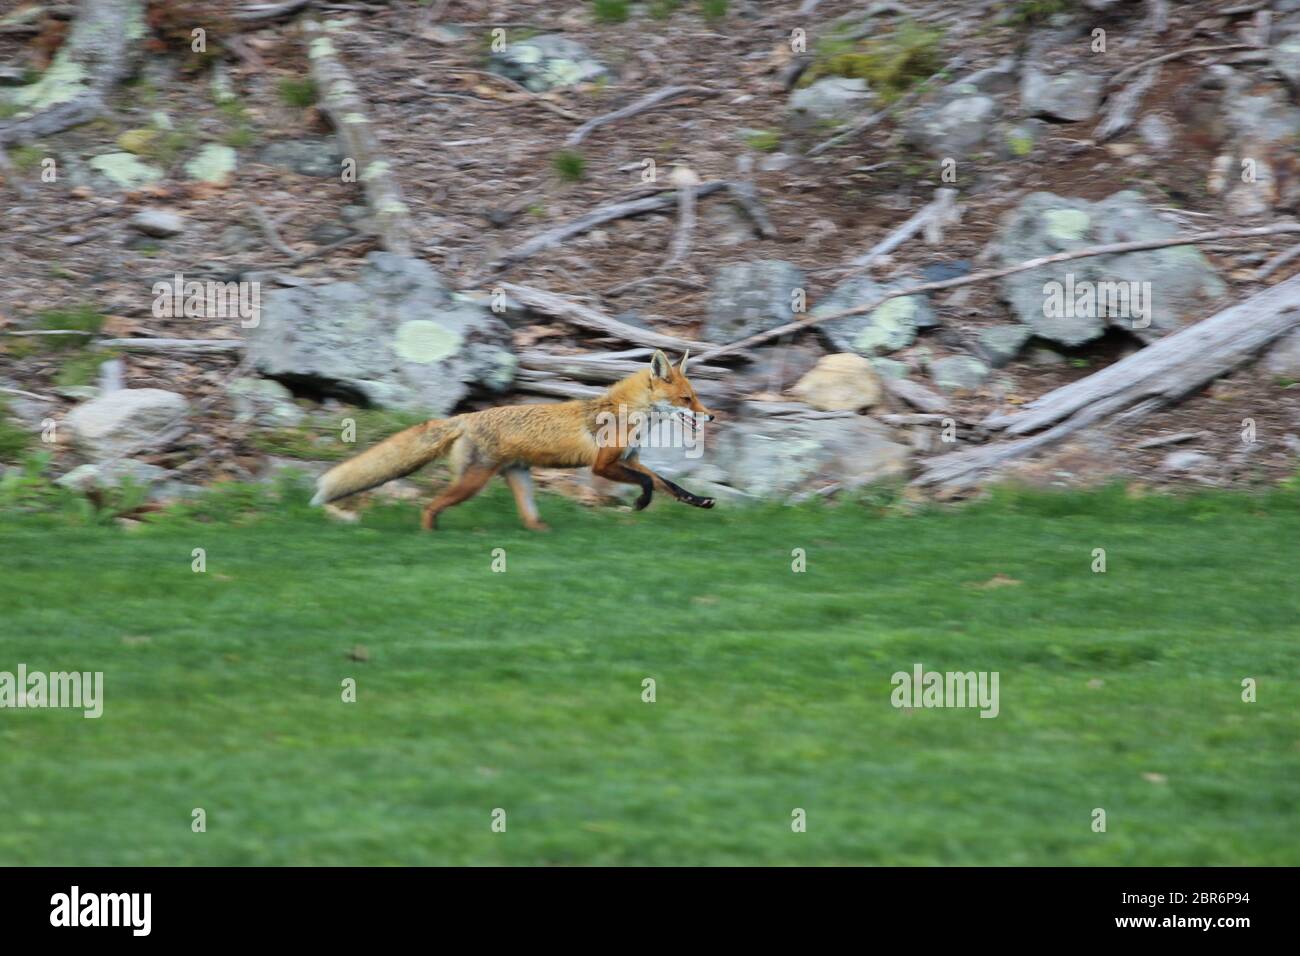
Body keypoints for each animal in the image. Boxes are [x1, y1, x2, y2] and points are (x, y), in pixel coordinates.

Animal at [311, 349, 717, 530]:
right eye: (687, 399)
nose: (711, 416)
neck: (628, 414)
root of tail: (464, 417)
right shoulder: (603, 465)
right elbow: (649, 483)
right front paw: (640, 504)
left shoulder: (630, 460)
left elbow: (668, 484)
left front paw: (699, 501)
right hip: (472, 483)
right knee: (429, 507)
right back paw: (430, 535)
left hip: (519, 479)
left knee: (529, 520)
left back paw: (544, 533)